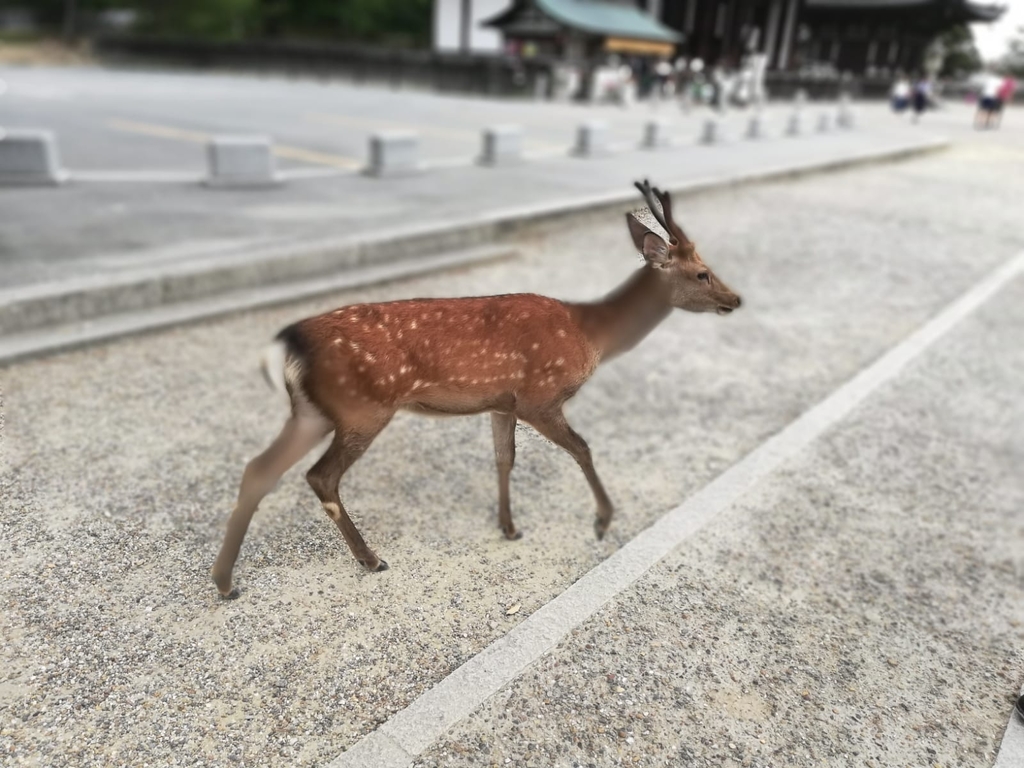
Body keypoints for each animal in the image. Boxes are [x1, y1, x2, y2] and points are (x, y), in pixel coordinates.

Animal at [211, 180, 741, 598]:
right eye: (701, 272)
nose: (735, 298)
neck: (590, 333)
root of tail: (288, 341)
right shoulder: (540, 397)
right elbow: (583, 449)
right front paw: (602, 520)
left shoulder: (502, 403)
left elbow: (504, 458)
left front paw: (508, 527)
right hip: (361, 408)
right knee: (319, 476)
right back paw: (371, 559)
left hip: (312, 411)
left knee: (257, 470)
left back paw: (225, 583)